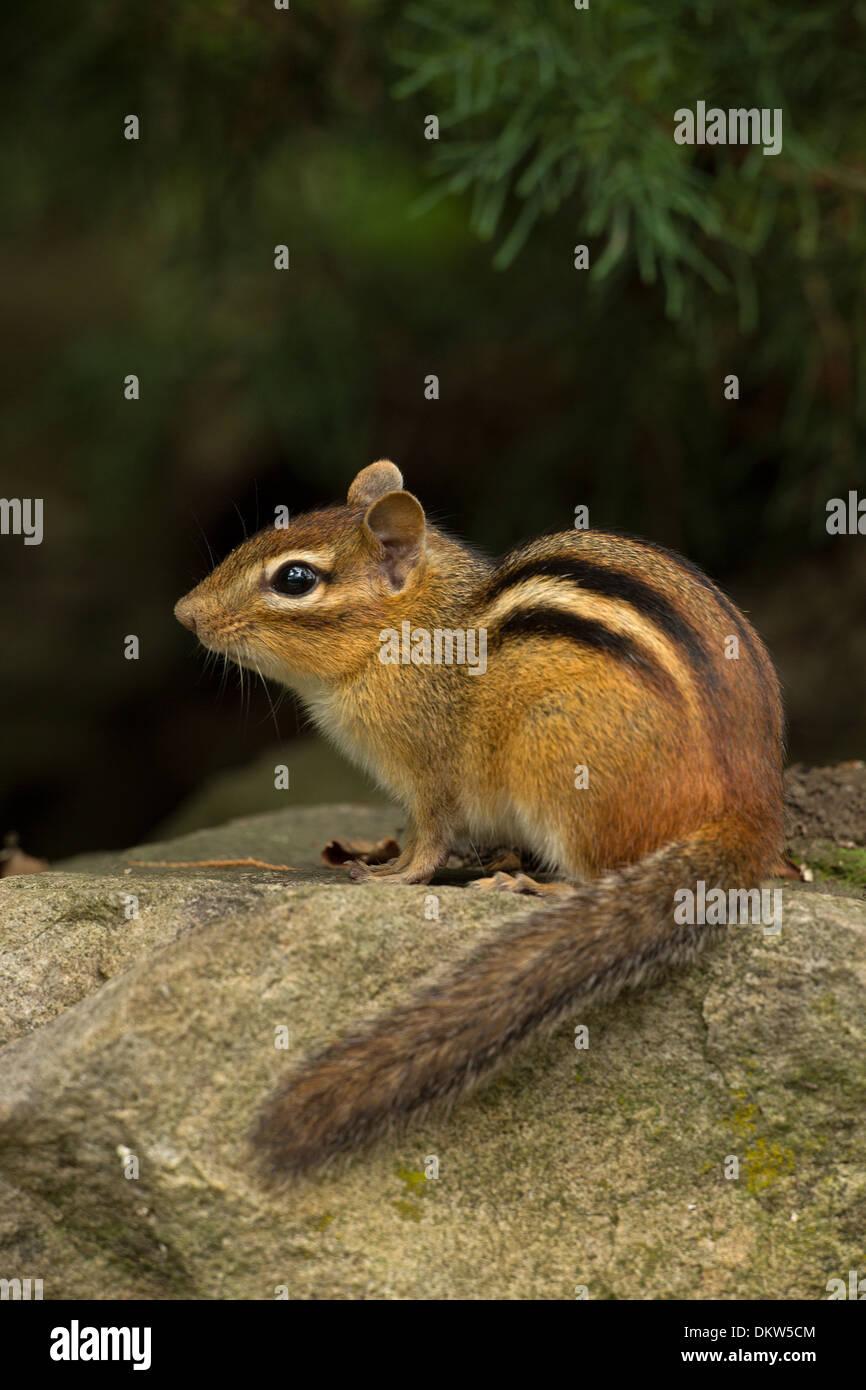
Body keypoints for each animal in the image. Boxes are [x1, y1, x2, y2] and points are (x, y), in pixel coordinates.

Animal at [174, 459, 784, 1179]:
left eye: (294, 579)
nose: (184, 613)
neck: (412, 632)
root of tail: (751, 808)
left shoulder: (431, 773)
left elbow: (431, 839)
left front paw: (394, 876)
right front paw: (379, 852)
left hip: (557, 762)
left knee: (599, 873)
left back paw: (535, 885)